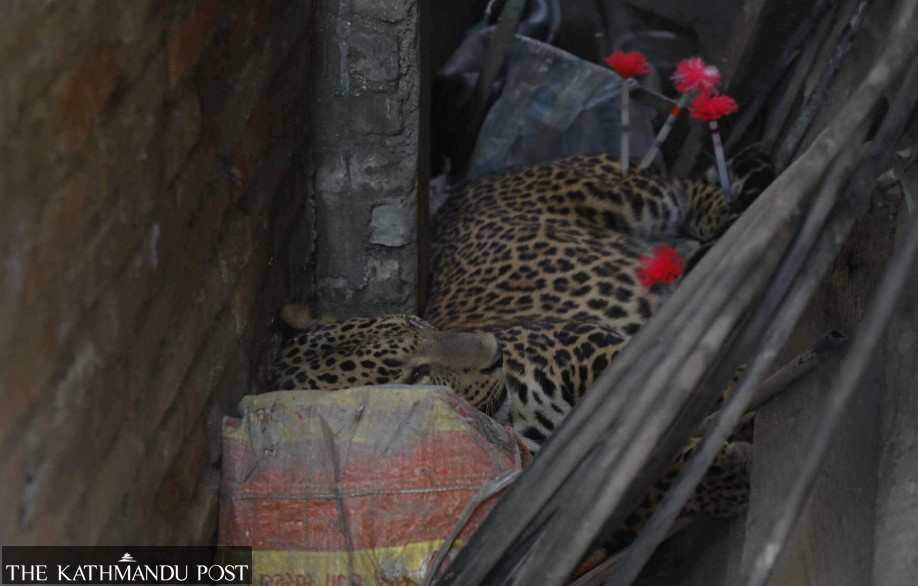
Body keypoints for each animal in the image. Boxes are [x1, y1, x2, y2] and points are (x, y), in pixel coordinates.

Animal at [271, 147, 774, 555]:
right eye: (414, 376)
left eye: (417, 321)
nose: (495, 353)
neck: (519, 420)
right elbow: (635, 476)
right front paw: (727, 474)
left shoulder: (578, 338)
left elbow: (642, 377)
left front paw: (733, 390)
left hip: (628, 192)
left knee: (691, 191)